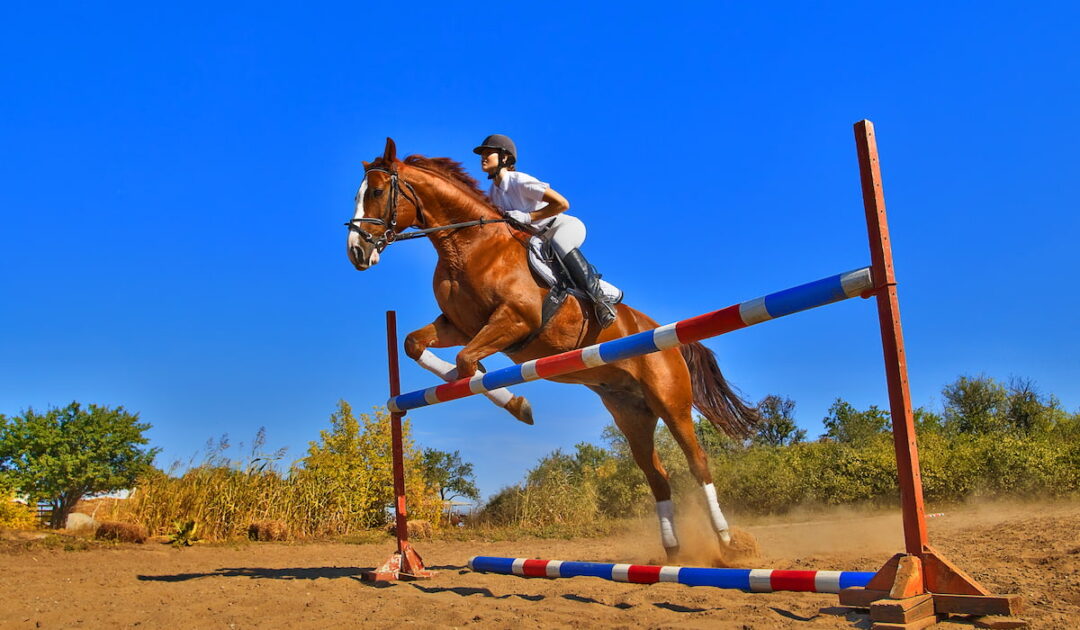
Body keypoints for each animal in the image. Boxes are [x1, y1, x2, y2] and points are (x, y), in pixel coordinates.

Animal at [347, 138, 758, 559]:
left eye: (376, 192)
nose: (357, 252)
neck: (468, 246)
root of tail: (663, 335)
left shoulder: (515, 321)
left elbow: (465, 362)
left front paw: (515, 403)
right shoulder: (460, 326)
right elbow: (417, 345)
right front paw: (504, 396)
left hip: (670, 400)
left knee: (698, 462)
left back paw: (728, 543)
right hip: (630, 412)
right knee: (655, 474)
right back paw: (673, 551)